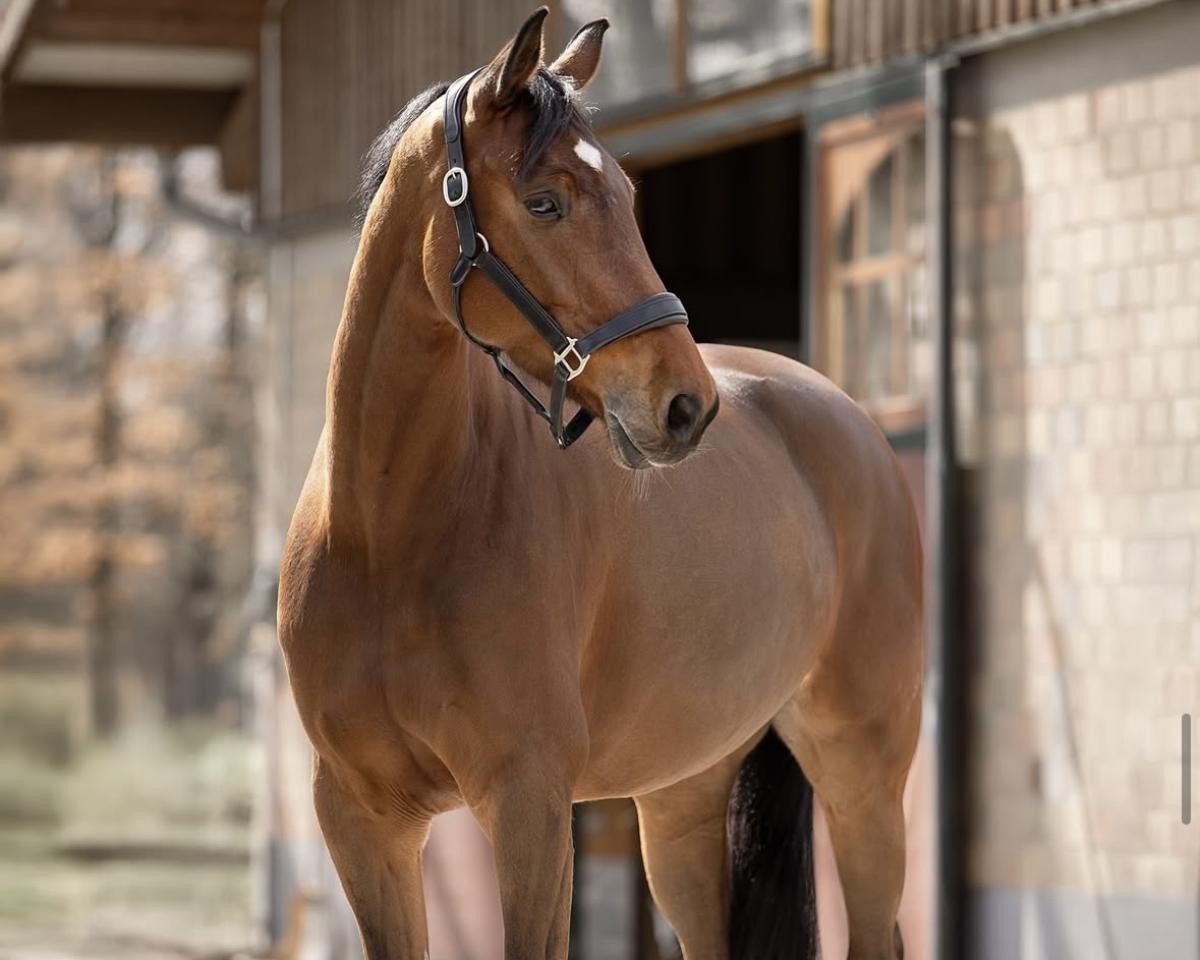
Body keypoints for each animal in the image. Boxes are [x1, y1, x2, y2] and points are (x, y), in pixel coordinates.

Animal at [278, 8, 923, 960]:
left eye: (623, 192)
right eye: (545, 202)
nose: (686, 404)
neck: (389, 533)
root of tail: (849, 423)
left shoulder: (531, 809)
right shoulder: (363, 821)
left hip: (863, 777)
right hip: (684, 798)